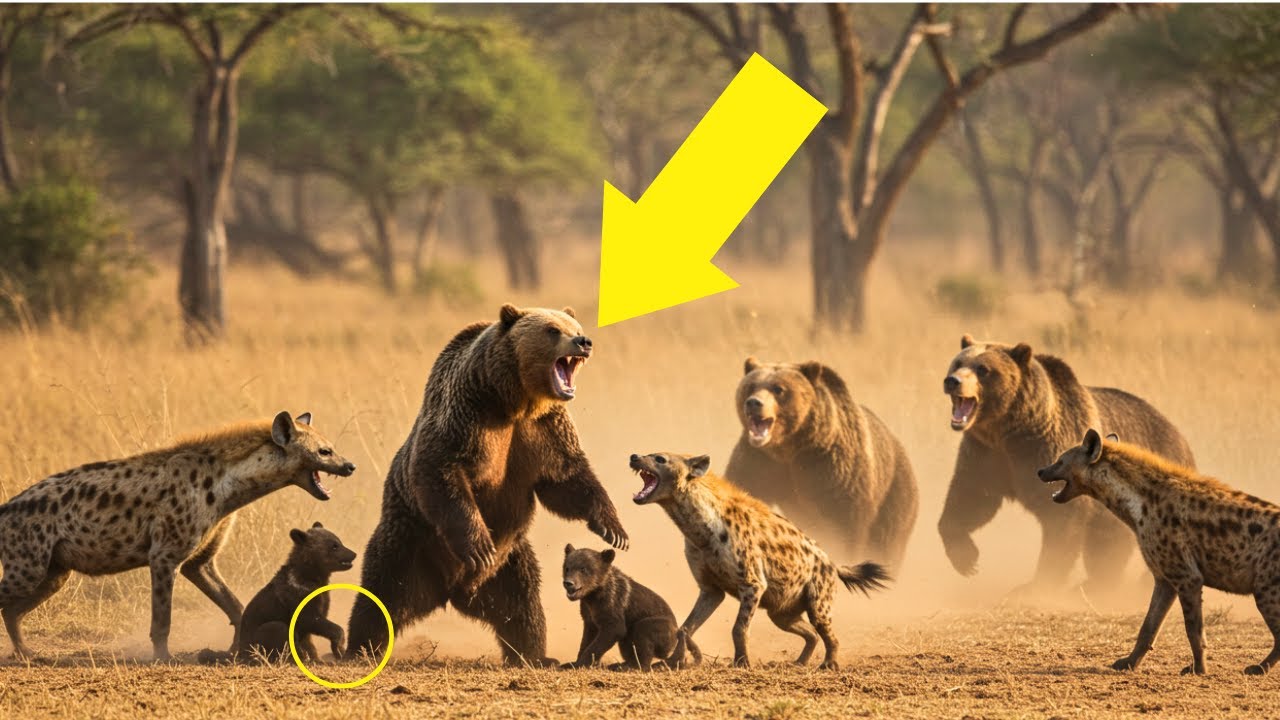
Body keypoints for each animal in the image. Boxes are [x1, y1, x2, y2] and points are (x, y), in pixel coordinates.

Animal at [198, 522, 355, 664]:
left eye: (339, 541)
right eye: (334, 545)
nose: (353, 554)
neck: (312, 577)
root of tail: (241, 653)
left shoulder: (321, 598)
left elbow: (309, 637)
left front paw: (317, 658)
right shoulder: (297, 598)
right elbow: (312, 621)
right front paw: (337, 649)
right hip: (257, 638)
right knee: (277, 629)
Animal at [346, 304, 629, 666]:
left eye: (574, 327)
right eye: (553, 330)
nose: (584, 342)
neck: (514, 401)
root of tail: (450, 591)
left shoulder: (543, 431)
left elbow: (566, 480)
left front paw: (613, 529)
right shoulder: (466, 418)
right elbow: (442, 472)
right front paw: (479, 546)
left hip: (508, 562)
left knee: (522, 604)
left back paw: (533, 654)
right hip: (410, 541)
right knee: (381, 593)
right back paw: (360, 649)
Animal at [724, 357, 919, 570]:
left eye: (779, 389)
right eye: (751, 386)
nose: (753, 403)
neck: (788, 448)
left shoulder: (830, 467)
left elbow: (844, 524)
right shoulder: (758, 461)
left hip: (894, 495)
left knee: (887, 542)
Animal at [938, 334, 1195, 597]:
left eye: (984, 369)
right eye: (958, 362)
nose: (953, 381)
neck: (1009, 431)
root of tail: (1182, 439)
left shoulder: (1044, 448)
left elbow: (1062, 518)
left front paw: (1039, 583)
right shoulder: (986, 455)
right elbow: (971, 498)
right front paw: (966, 559)